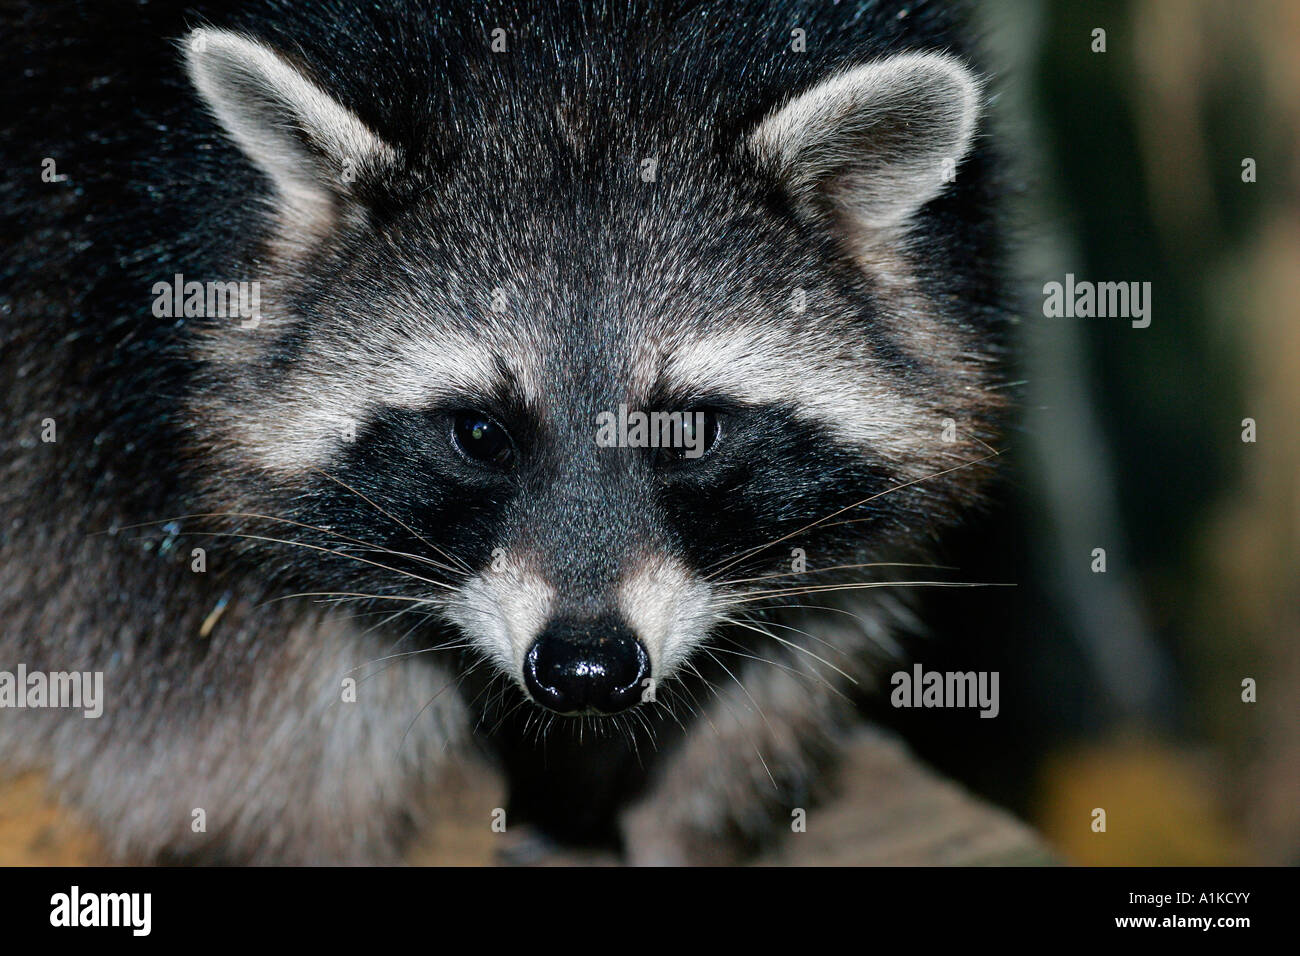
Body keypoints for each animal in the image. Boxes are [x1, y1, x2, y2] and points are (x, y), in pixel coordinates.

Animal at [0, 0, 1009, 864]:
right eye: (479, 434)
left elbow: (776, 670)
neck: (578, 64)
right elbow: (226, 744)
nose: (587, 670)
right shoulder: (104, 398)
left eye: (692, 432)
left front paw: (667, 824)